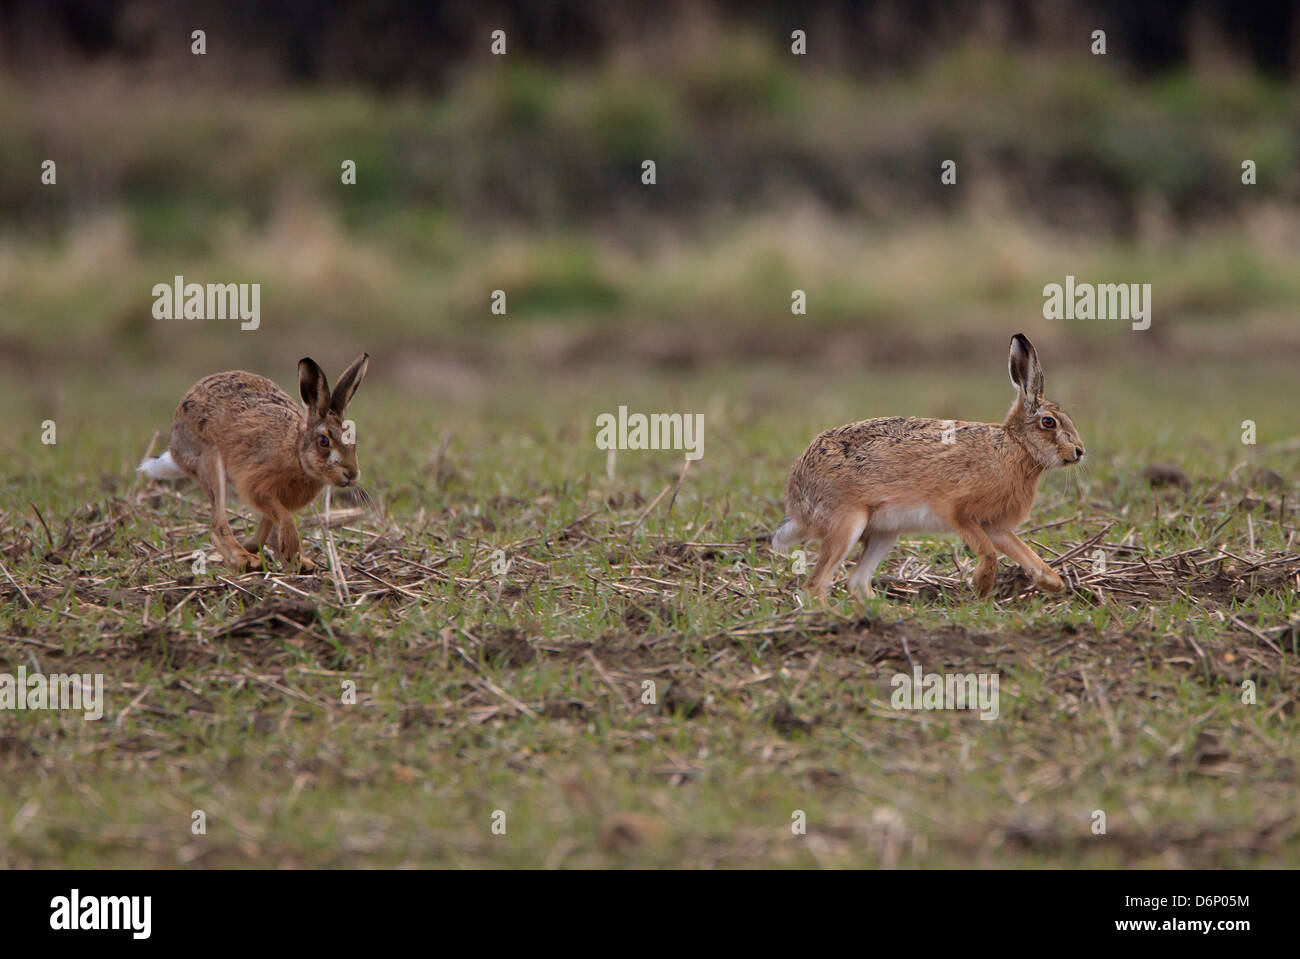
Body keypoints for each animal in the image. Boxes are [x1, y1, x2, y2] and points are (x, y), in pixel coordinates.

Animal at [139, 353, 370, 572]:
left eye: (354, 441)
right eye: (324, 441)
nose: (351, 474)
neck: (296, 452)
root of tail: (174, 444)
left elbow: (270, 525)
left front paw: (292, 558)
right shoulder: (259, 488)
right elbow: (283, 518)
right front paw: (289, 549)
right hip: (209, 462)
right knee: (216, 525)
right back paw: (245, 560)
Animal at [772, 334, 1084, 601]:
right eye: (1048, 422)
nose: (1079, 452)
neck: (1015, 447)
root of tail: (796, 499)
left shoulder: (996, 526)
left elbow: (1027, 555)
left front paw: (1053, 583)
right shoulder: (957, 511)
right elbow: (989, 553)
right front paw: (980, 586)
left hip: (885, 532)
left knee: (857, 582)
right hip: (847, 522)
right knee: (815, 586)